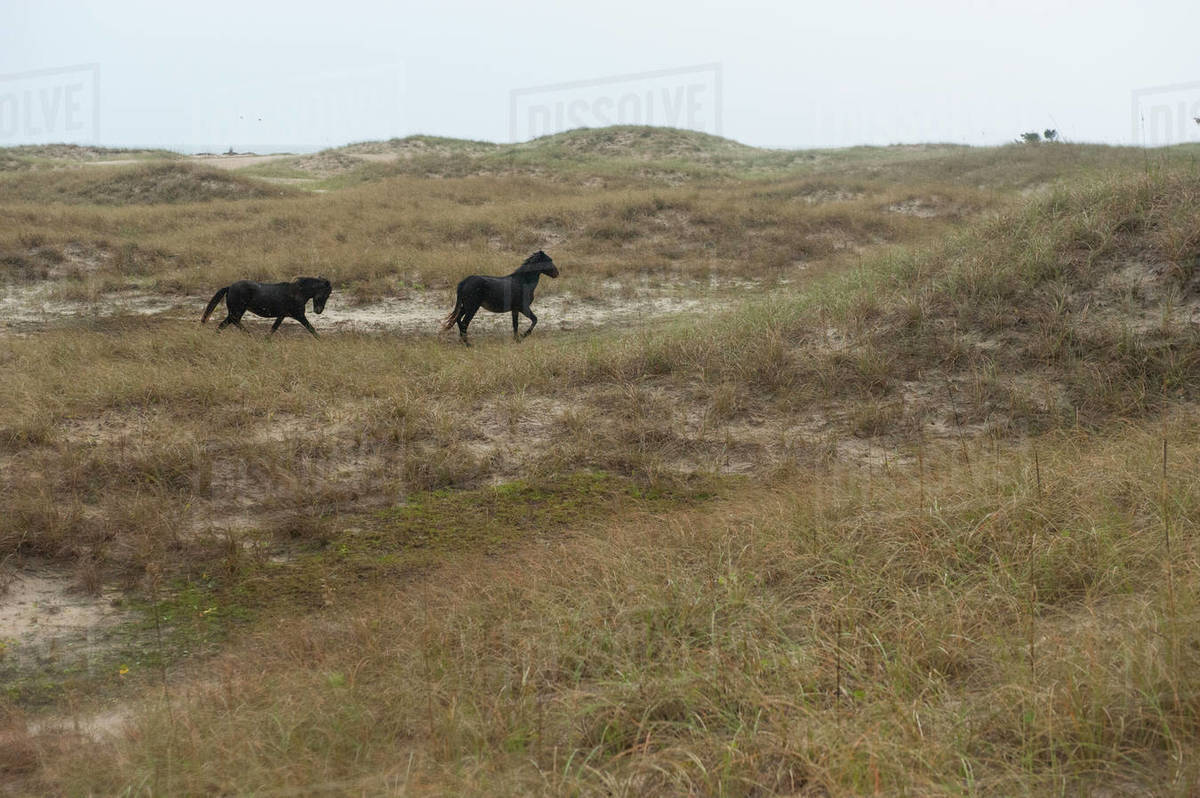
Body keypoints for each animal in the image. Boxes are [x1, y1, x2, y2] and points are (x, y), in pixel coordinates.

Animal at [201, 277, 332, 338]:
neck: (298, 292)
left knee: (225, 324)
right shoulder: (299, 315)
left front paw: (266, 340)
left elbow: (273, 328)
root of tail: (229, 287)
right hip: (237, 311)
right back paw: (250, 336)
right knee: (231, 322)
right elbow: (311, 328)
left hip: (235, 311)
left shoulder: (282, 315)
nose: (318, 311)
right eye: (326, 293)